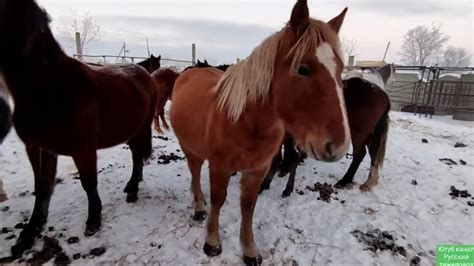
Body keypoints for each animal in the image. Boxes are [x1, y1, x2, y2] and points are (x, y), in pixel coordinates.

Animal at [0, 0, 158, 258]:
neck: (50, 89)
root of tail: (145, 74)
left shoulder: (83, 149)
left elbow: (88, 183)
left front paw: (93, 221)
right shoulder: (37, 148)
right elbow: (42, 187)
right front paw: (29, 235)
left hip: (140, 129)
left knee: (136, 157)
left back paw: (133, 190)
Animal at [168, 0, 350, 264]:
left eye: (341, 70)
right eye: (303, 69)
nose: (338, 146)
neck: (246, 122)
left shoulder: (257, 170)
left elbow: (248, 206)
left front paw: (249, 249)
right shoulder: (220, 167)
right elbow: (218, 199)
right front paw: (212, 242)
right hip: (190, 148)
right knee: (194, 172)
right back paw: (199, 207)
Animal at [260, 63, 392, 196]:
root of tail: (382, 94)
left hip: (359, 133)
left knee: (360, 154)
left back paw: (344, 181)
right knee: (373, 153)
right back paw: (368, 182)